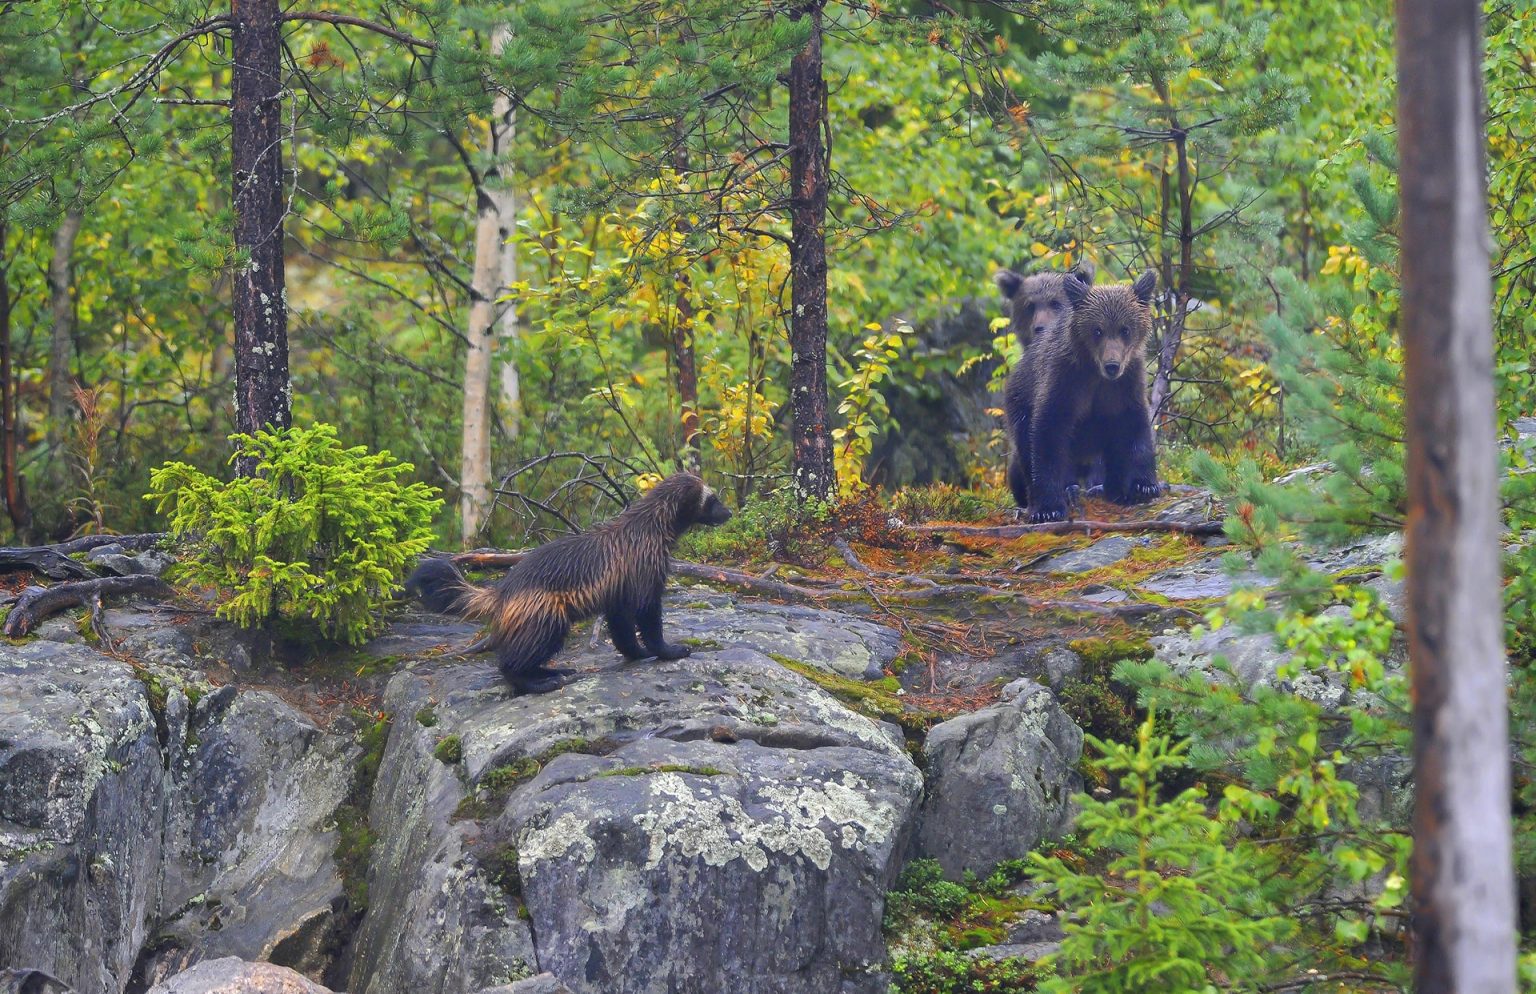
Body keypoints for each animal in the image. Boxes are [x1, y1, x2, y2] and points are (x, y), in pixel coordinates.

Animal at [1009, 269, 1160, 523]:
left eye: (1125, 329)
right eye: (1097, 330)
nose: (1112, 365)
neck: (1096, 374)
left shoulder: (1126, 386)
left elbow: (1135, 427)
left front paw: (1144, 485)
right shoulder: (1065, 381)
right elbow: (1049, 435)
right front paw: (1048, 508)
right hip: (1020, 403)